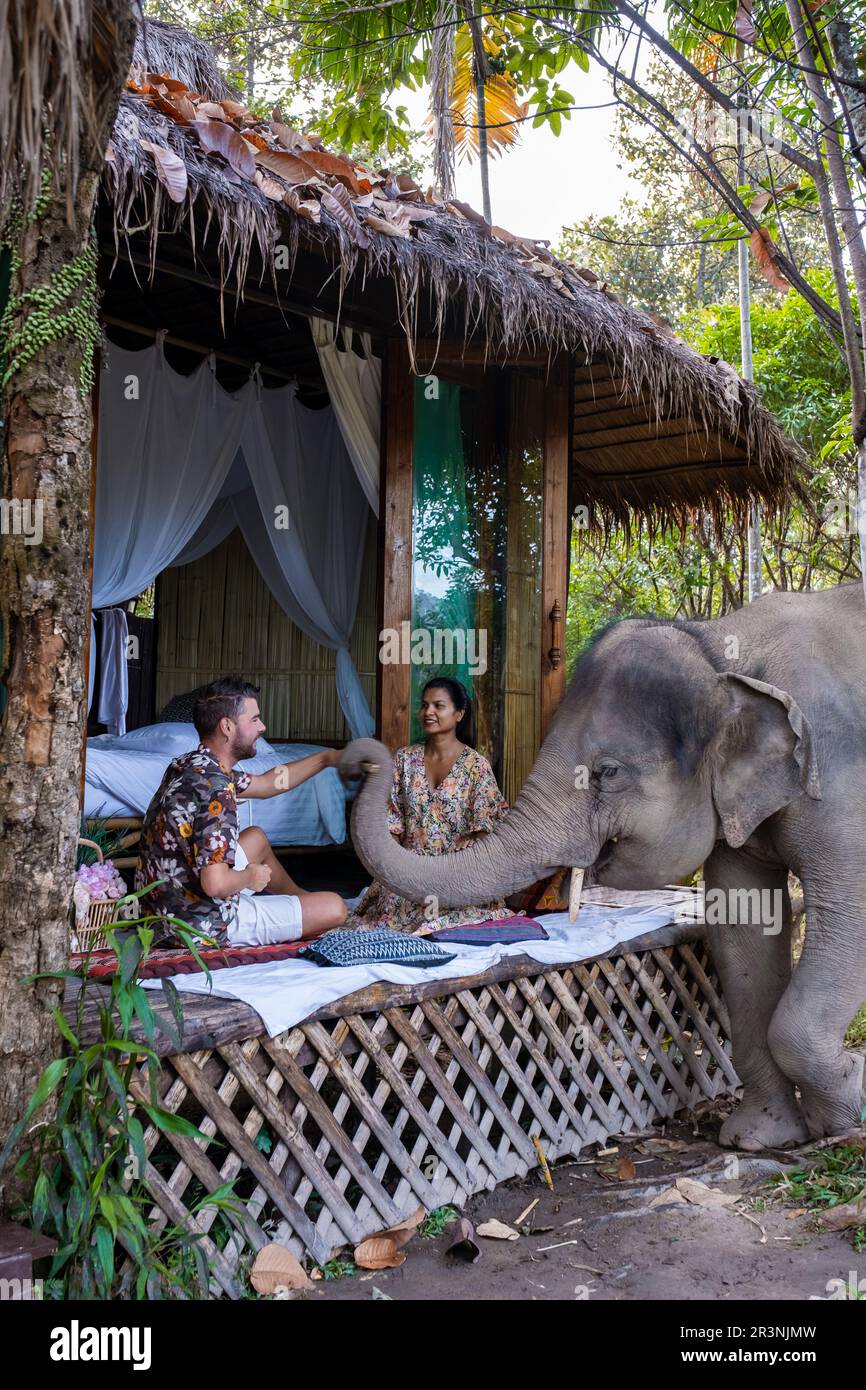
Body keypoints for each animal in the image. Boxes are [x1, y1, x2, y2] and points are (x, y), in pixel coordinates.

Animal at [341, 582, 866, 1151]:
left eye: (608, 772)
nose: (359, 760)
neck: (724, 649)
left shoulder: (841, 781)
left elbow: (848, 910)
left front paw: (847, 1109)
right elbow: (742, 926)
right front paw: (757, 1139)